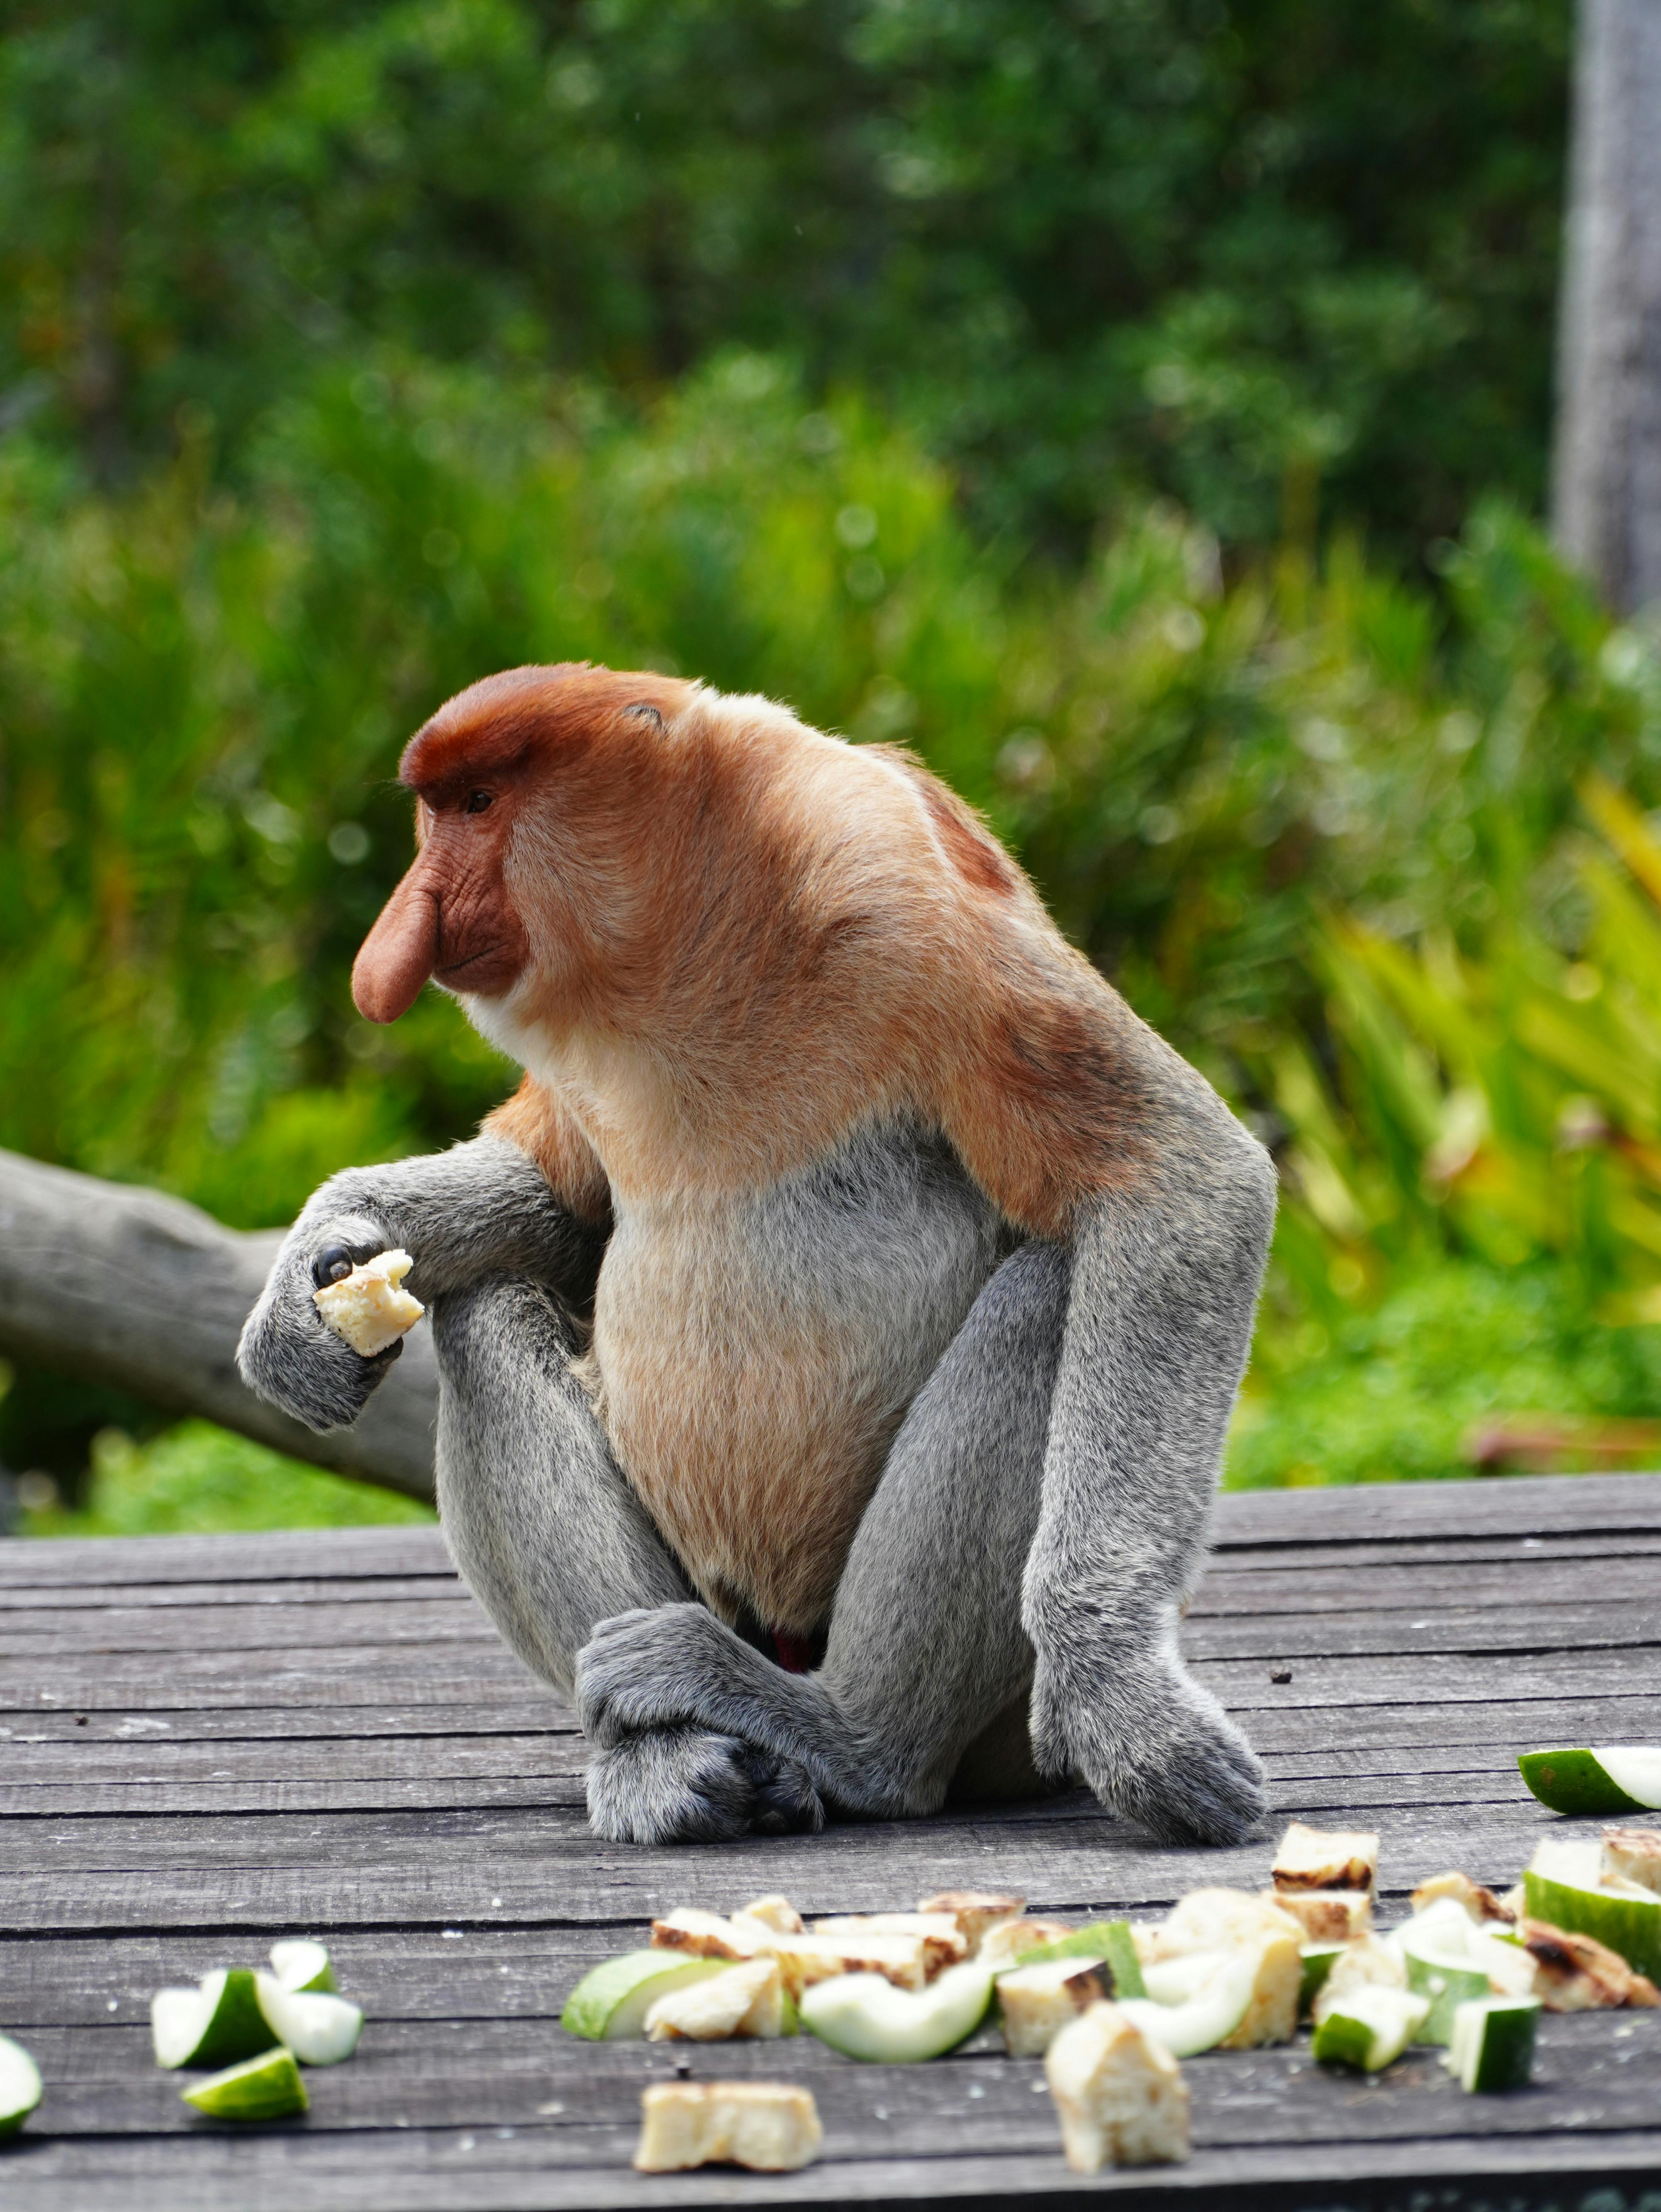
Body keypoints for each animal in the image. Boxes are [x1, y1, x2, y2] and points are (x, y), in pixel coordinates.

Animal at [238, 663, 1277, 1848]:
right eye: (438, 810)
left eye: (478, 805)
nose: (411, 917)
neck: (686, 937)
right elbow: (557, 1202)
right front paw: (315, 1279)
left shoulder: (907, 897)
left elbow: (1174, 1177)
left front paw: (1122, 1710)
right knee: (487, 1311)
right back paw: (673, 1758)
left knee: (1048, 1294)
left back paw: (851, 1739)